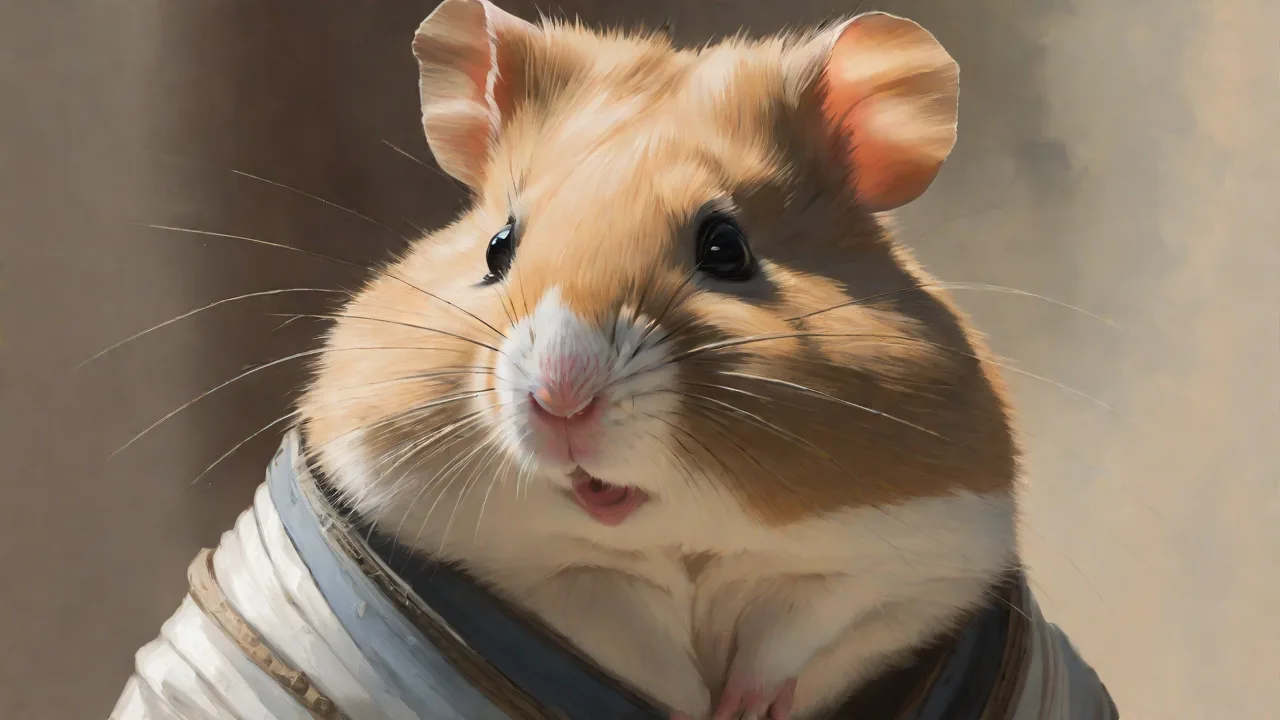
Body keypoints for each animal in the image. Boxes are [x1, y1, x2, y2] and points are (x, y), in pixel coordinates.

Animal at [300, 1, 1020, 718]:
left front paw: (743, 708)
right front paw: (691, 706)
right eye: (497, 248)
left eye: (726, 248)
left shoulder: (890, 557)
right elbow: (634, 642)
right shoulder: (549, 572)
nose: (561, 399)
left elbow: (791, 629)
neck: (674, 533)